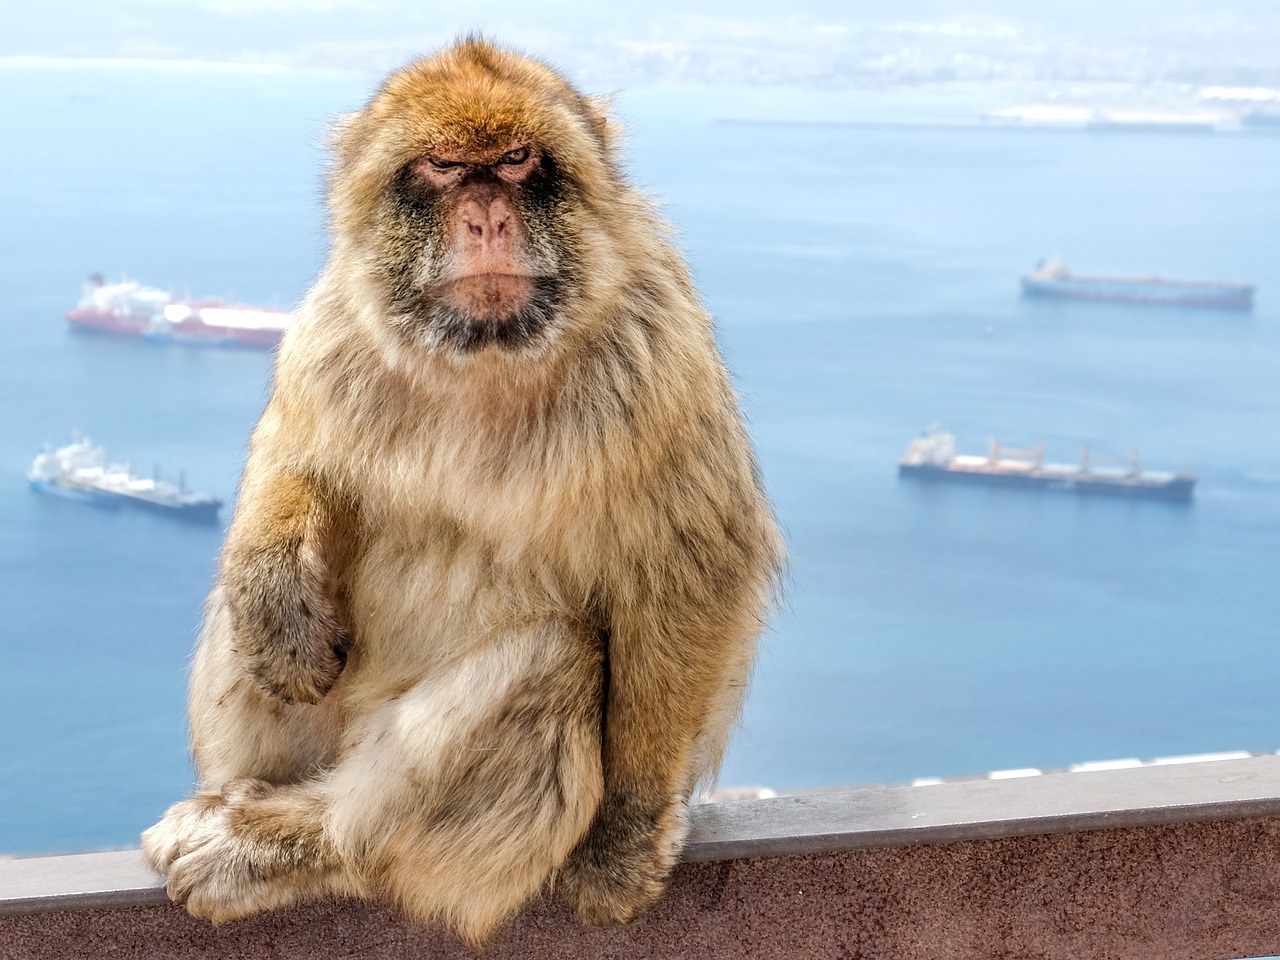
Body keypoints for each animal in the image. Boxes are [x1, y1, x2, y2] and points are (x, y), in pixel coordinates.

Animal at [141, 37, 783, 944]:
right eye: (443, 168)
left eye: (516, 160)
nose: (485, 219)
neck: (485, 360)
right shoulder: (333, 326)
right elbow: (297, 460)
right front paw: (274, 582)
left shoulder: (661, 350)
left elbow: (691, 574)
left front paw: (625, 833)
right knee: (260, 610)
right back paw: (241, 787)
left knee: (555, 658)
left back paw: (298, 845)